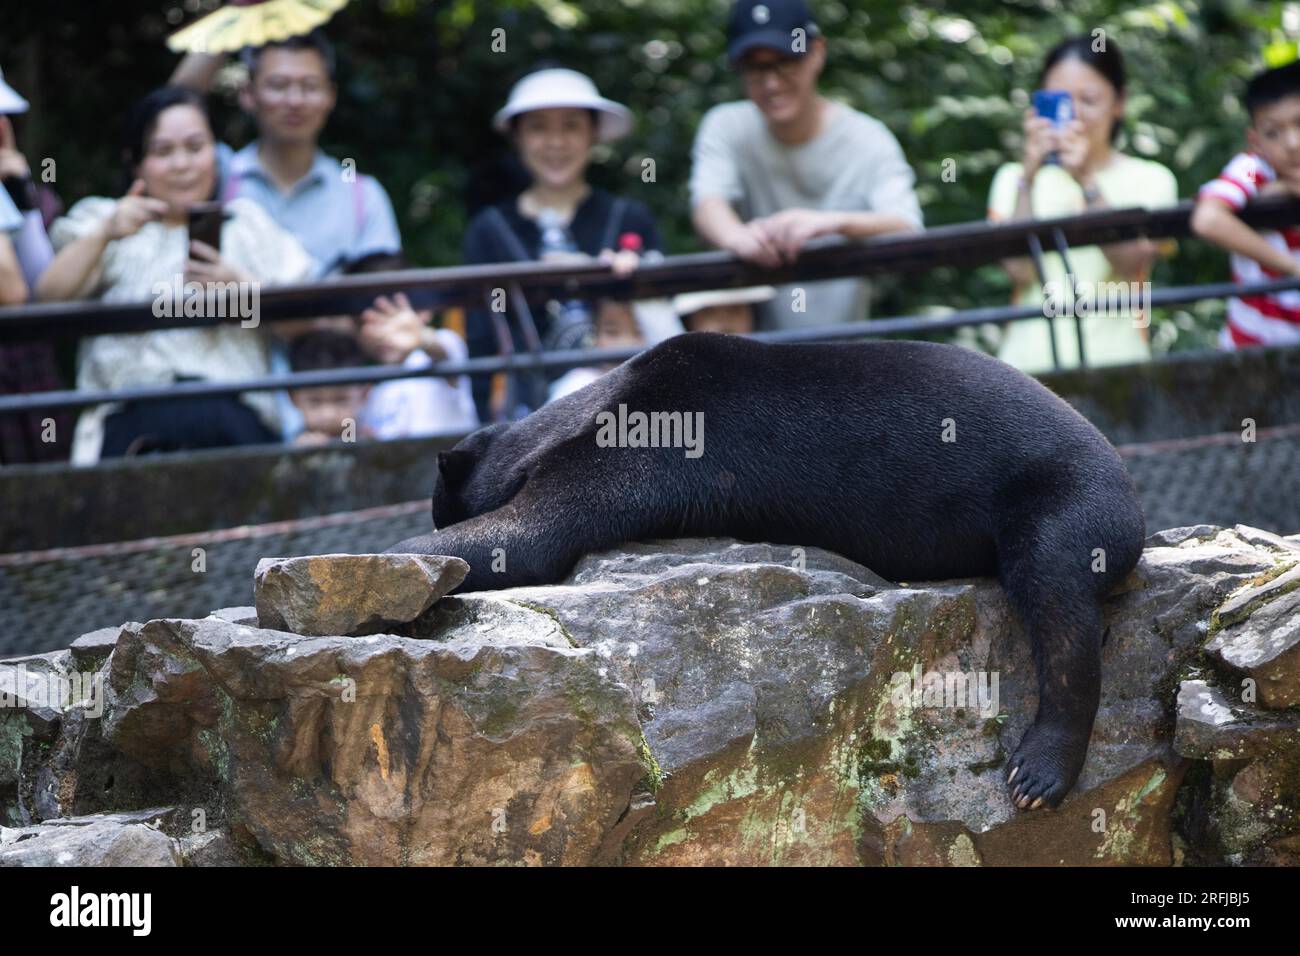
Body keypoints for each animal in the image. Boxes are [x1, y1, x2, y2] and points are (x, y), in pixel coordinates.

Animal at [386, 331, 1147, 810]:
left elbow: (534, 532)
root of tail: (1128, 485)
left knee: (1055, 589)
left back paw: (1037, 774)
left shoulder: (656, 435)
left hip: (1062, 495)